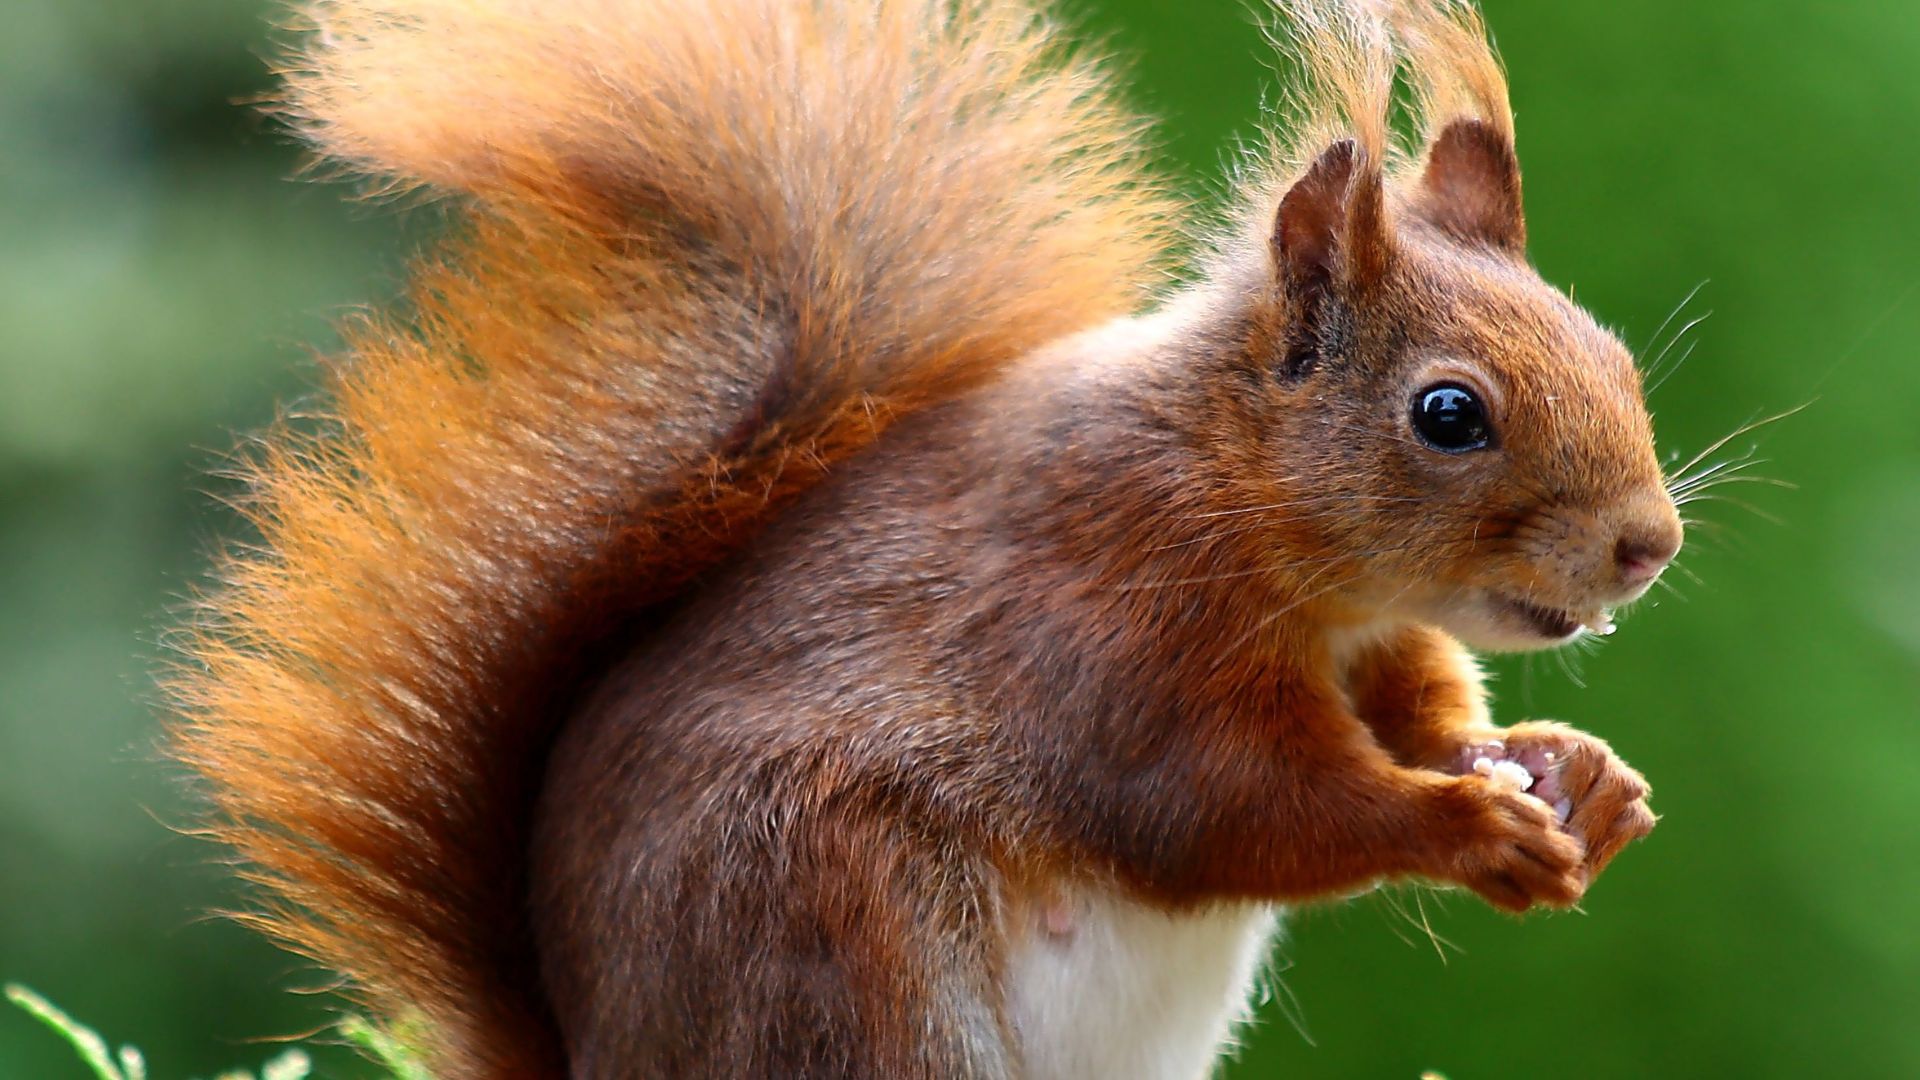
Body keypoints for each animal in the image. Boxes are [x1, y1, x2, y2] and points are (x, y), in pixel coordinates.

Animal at [168, 0, 1683, 1077]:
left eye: (1608, 349)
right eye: (1449, 413)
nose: (1649, 546)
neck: (1248, 504)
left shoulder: (1374, 643)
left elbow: (1425, 712)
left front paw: (1572, 773)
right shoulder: (1108, 625)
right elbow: (1230, 807)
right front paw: (1463, 823)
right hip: (839, 945)